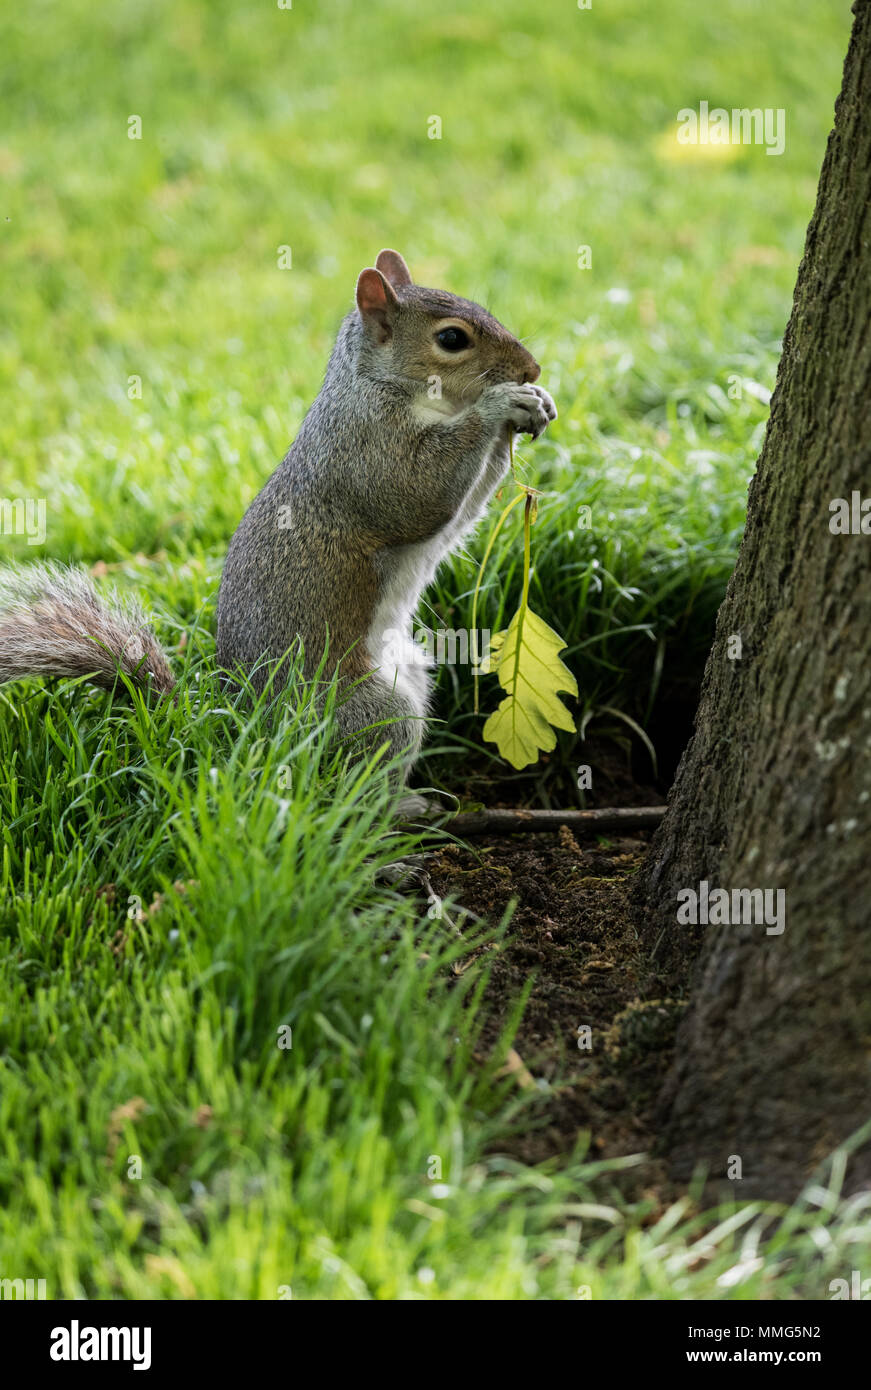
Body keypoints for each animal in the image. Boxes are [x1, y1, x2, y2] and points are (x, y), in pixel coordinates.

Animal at [0, 250, 556, 785]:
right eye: (451, 338)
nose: (531, 370)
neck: (379, 385)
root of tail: (241, 733)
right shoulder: (367, 450)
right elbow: (420, 498)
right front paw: (498, 404)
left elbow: (458, 515)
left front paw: (535, 405)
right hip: (371, 712)